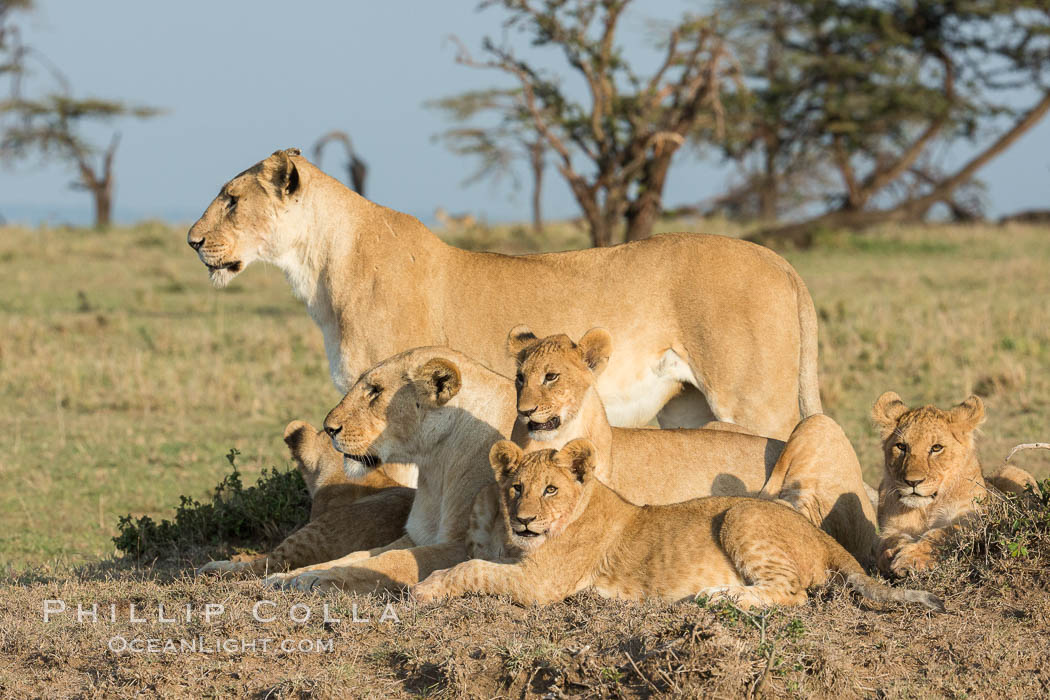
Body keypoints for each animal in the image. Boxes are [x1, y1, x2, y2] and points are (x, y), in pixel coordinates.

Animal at [187, 148, 821, 440]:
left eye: (232, 201)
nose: (192, 242)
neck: (317, 266)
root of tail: (782, 261)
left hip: (755, 403)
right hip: (689, 408)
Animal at [412, 440, 943, 612]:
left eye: (550, 490)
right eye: (517, 488)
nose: (522, 520)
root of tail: (823, 537)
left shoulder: (541, 585)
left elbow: (474, 569)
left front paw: (426, 589)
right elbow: (479, 561)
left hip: (740, 514)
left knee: (792, 594)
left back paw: (718, 596)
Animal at [872, 391, 1040, 577]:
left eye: (936, 448)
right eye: (901, 446)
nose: (912, 481)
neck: (925, 509)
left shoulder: (974, 520)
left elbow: (943, 534)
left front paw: (910, 560)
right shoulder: (889, 529)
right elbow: (886, 542)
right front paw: (894, 551)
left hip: (1012, 472)